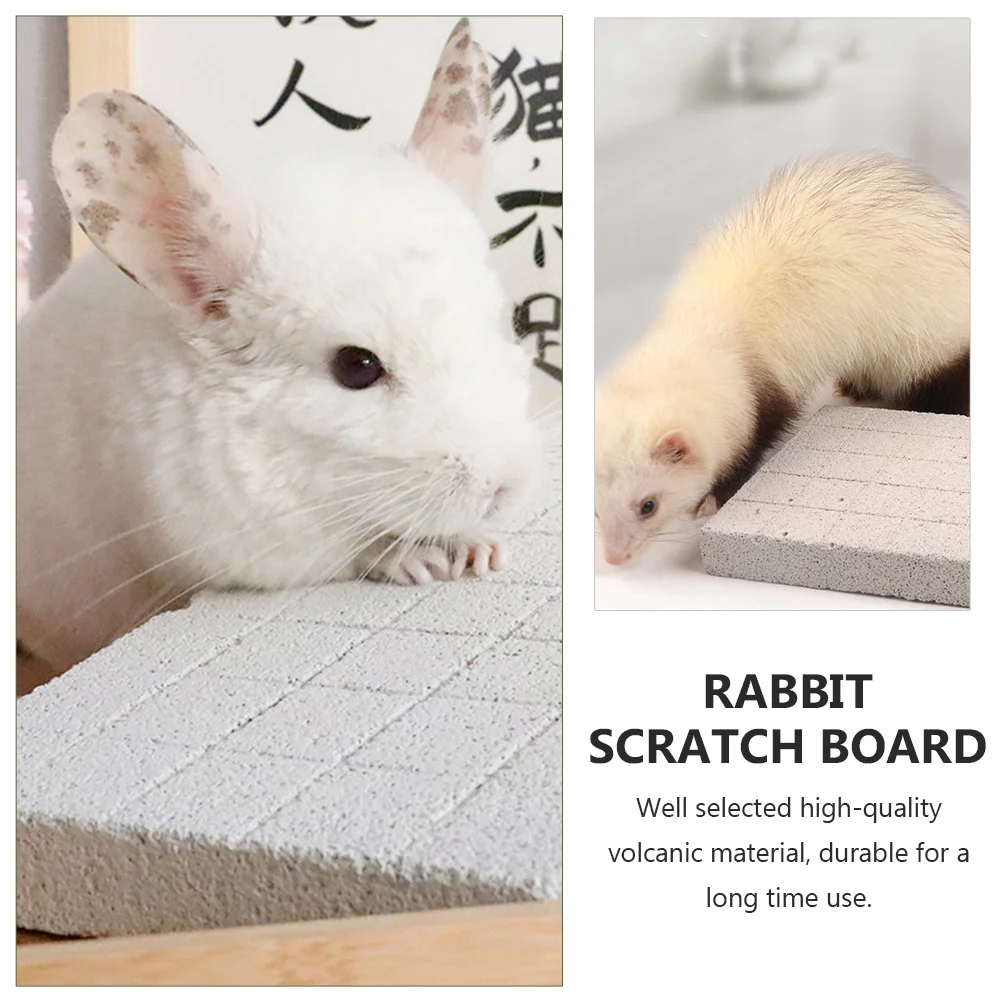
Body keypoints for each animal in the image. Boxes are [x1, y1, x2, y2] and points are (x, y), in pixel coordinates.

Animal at [17, 18, 544, 674]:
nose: (504, 487)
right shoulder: (230, 535)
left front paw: (482, 547)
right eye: (356, 367)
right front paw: (416, 558)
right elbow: (352, 547)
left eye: (508, 322)